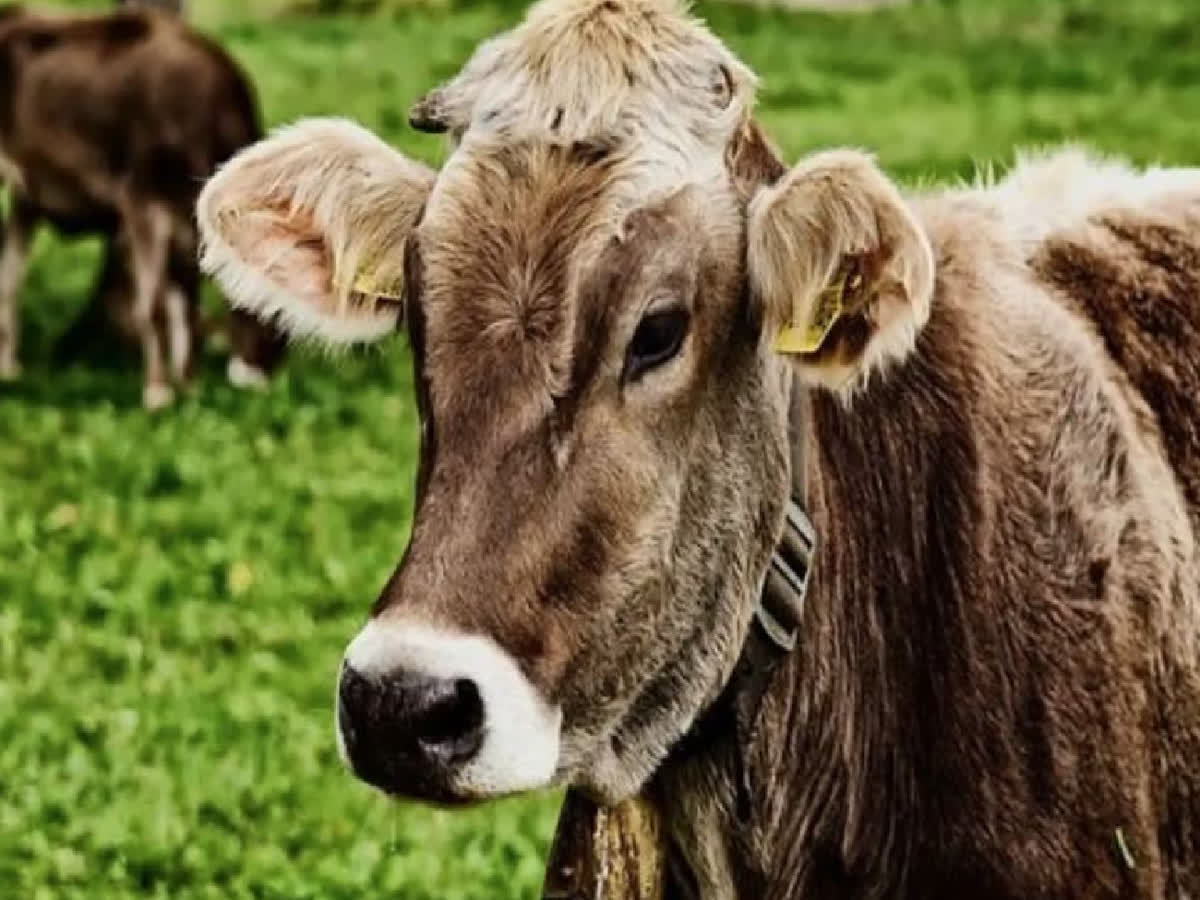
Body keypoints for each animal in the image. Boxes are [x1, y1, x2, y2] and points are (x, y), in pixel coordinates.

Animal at [0, 5, 285, 408]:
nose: (259, 376)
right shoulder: (141, 203)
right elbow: (153, 305)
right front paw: (158, 392)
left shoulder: (186, 222)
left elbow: (185, 302)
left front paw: (188, 386)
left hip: (26, 196)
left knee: (10, 274)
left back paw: (9, 366)